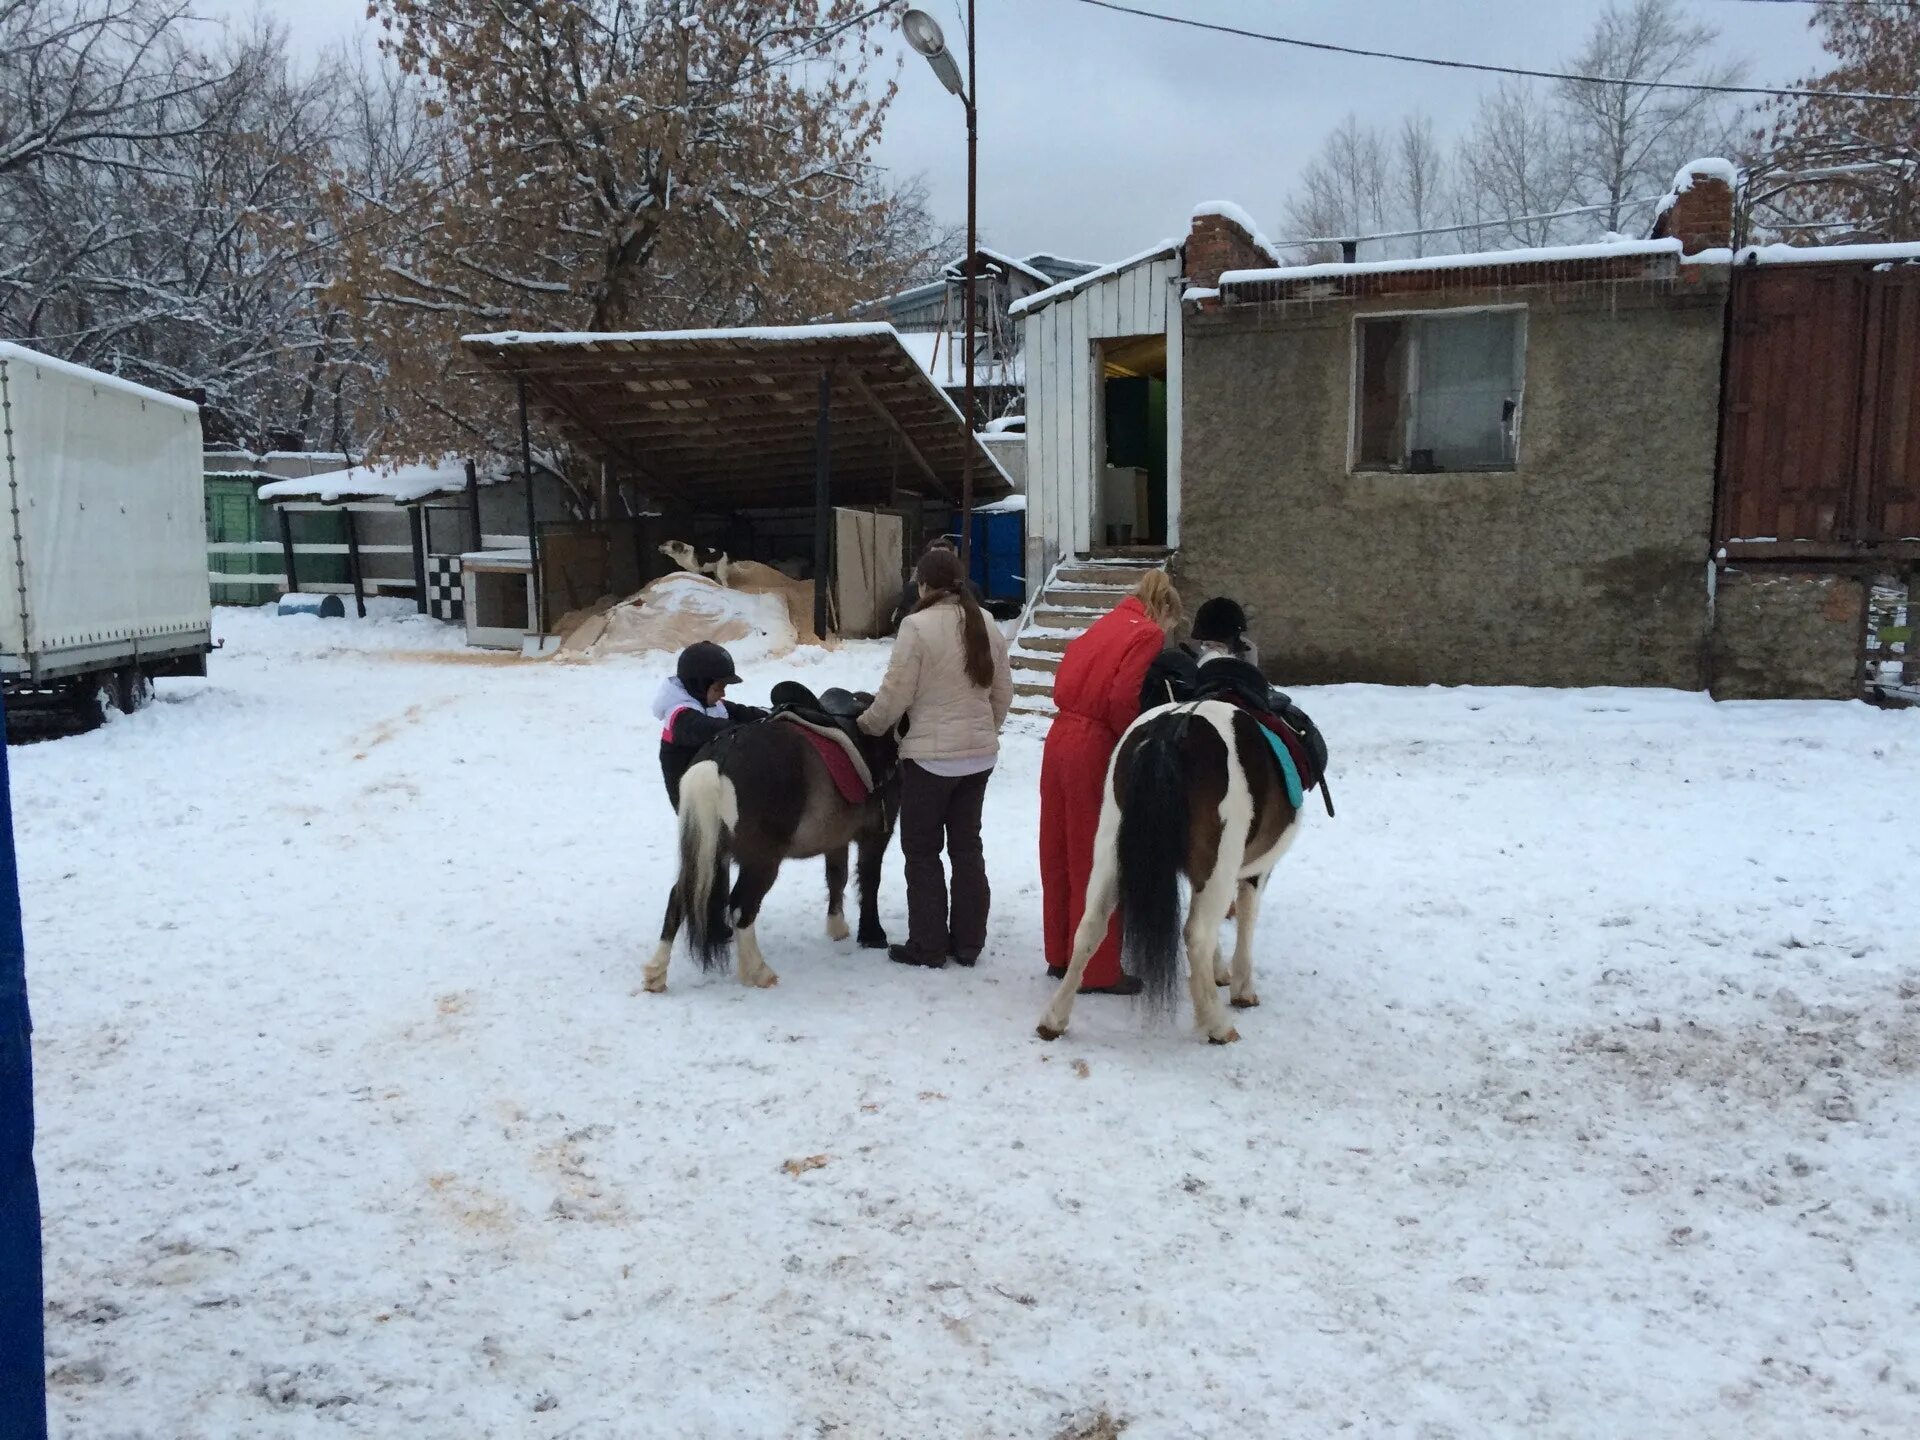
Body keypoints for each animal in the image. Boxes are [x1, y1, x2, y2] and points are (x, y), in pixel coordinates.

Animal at [641, 695, 902, 990]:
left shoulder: (837, 838)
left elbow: (837, 877)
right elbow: (869, 880)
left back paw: (656, 972)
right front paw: (872, 934)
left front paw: (837, 927)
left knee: (679, 897)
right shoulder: (876, 835)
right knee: (741, 907)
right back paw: (758, 971)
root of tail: (720, 757)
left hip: (709, 854)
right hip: (762, 861)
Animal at [1036, 702, 1305, 1052]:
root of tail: (1169, 734)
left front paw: (1218, 973)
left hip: (1111, 851)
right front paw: (1242, 988)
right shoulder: (1256, 871)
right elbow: (1246, 918)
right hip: (1218, 863)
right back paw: (1217, 1025)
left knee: (1090, 926)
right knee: (1197, 934)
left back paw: (1054, 1018)